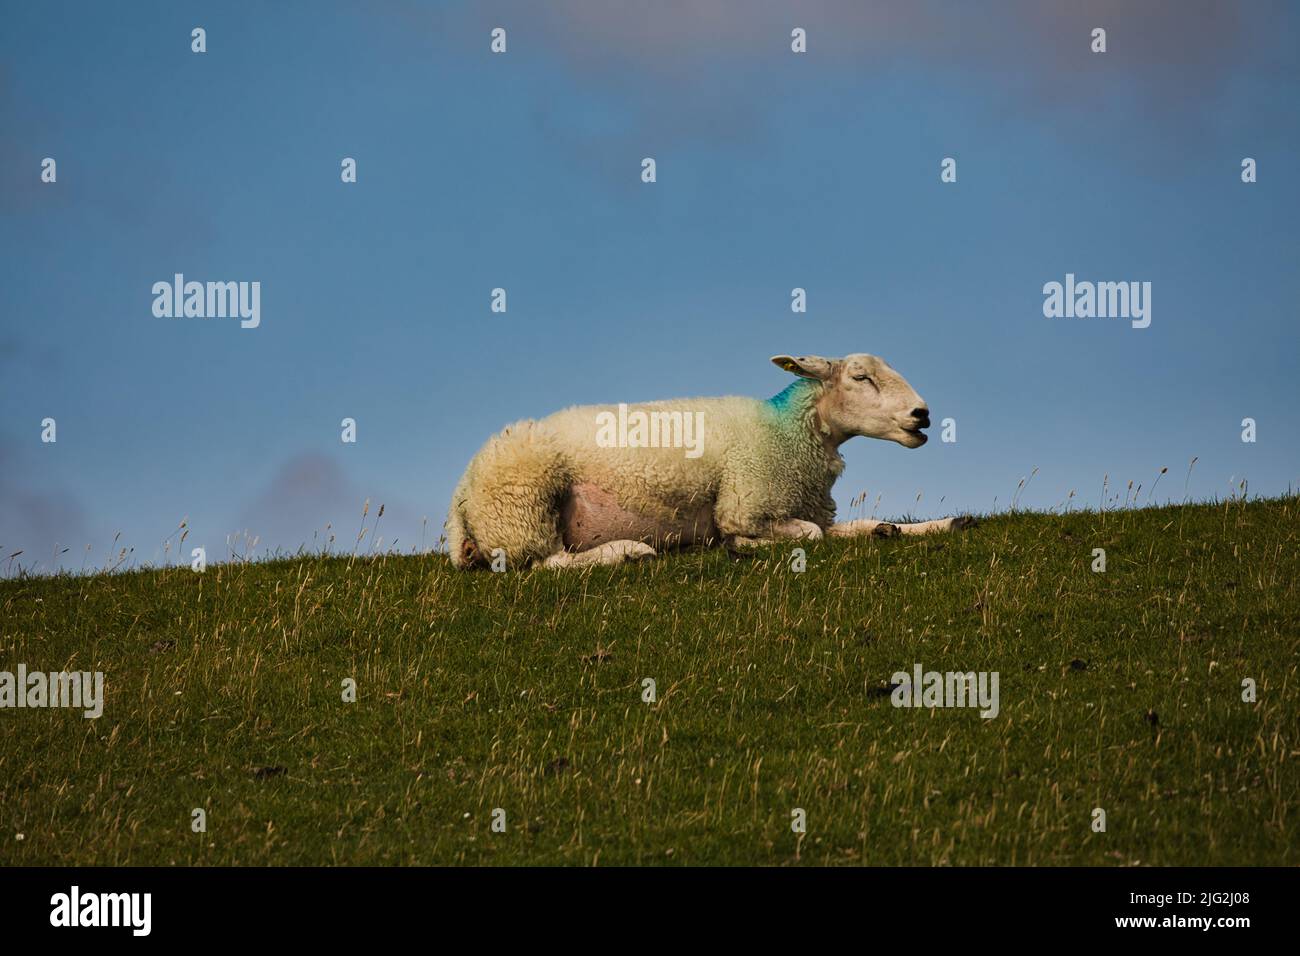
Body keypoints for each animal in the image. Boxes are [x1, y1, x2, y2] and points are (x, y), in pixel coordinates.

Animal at [446, 353, 976, 569]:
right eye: (861, 377)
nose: (923, 415)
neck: (787, 431)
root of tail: (460, 496)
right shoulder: (746, 502)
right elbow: (804, 535)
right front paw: (740, 546)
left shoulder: (804, 504)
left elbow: (853, 528)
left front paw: (932, 525)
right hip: (525, 505)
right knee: (545, 562)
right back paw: (627, 551)